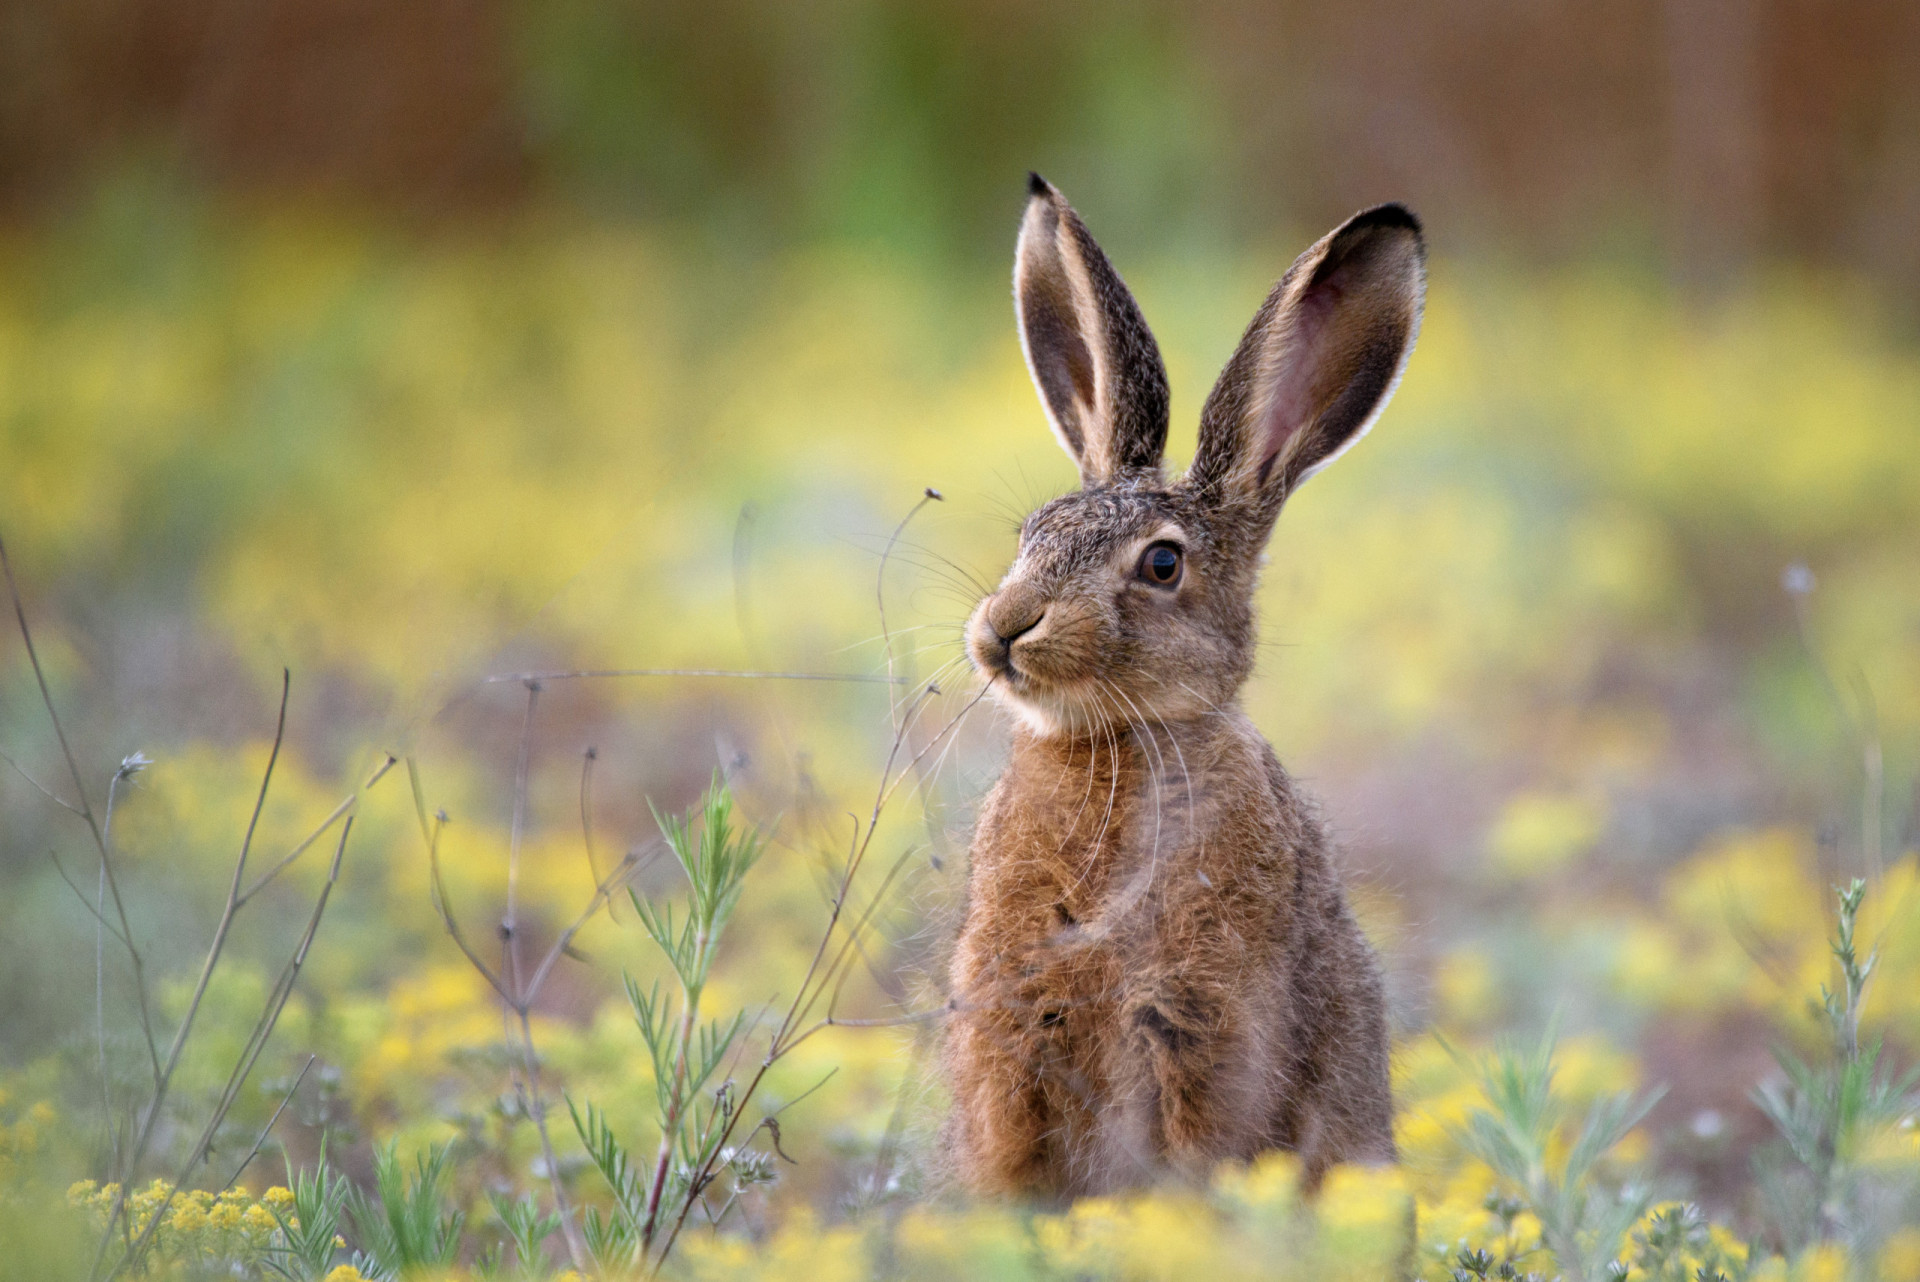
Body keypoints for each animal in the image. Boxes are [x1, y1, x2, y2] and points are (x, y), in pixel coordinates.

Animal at [942, 174, 1426, 1199]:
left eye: (1162, 565)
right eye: (1031, 532)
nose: (1004, 628)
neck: (1118, 743)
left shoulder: (1203, 1022)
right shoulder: (1009, 1030)